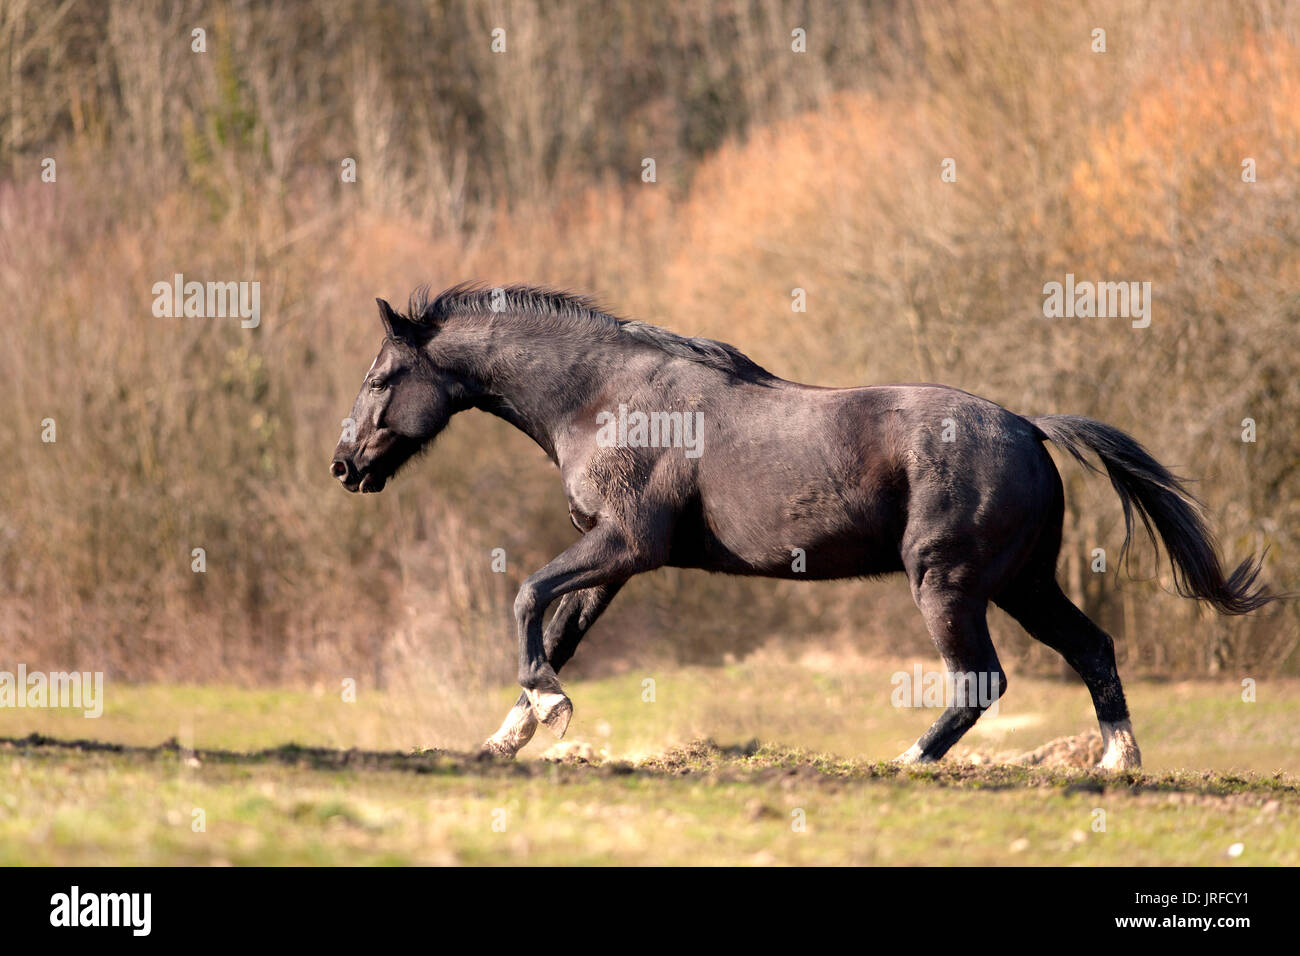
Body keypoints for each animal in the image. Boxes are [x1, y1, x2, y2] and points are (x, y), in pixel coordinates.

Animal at [331, 283, 1272, 769]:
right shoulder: (619, 563)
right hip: (1023, 582)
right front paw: (512, 731)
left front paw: (546, 709)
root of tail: (1029, 428)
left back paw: (910, 762)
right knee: (1093, 648)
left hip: (949, 583)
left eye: (380, 379)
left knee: (981, 680)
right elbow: (557, 630)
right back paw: (1116, 763)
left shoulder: (625, 544)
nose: (344, 466)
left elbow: (528, 594)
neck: (601, 398)